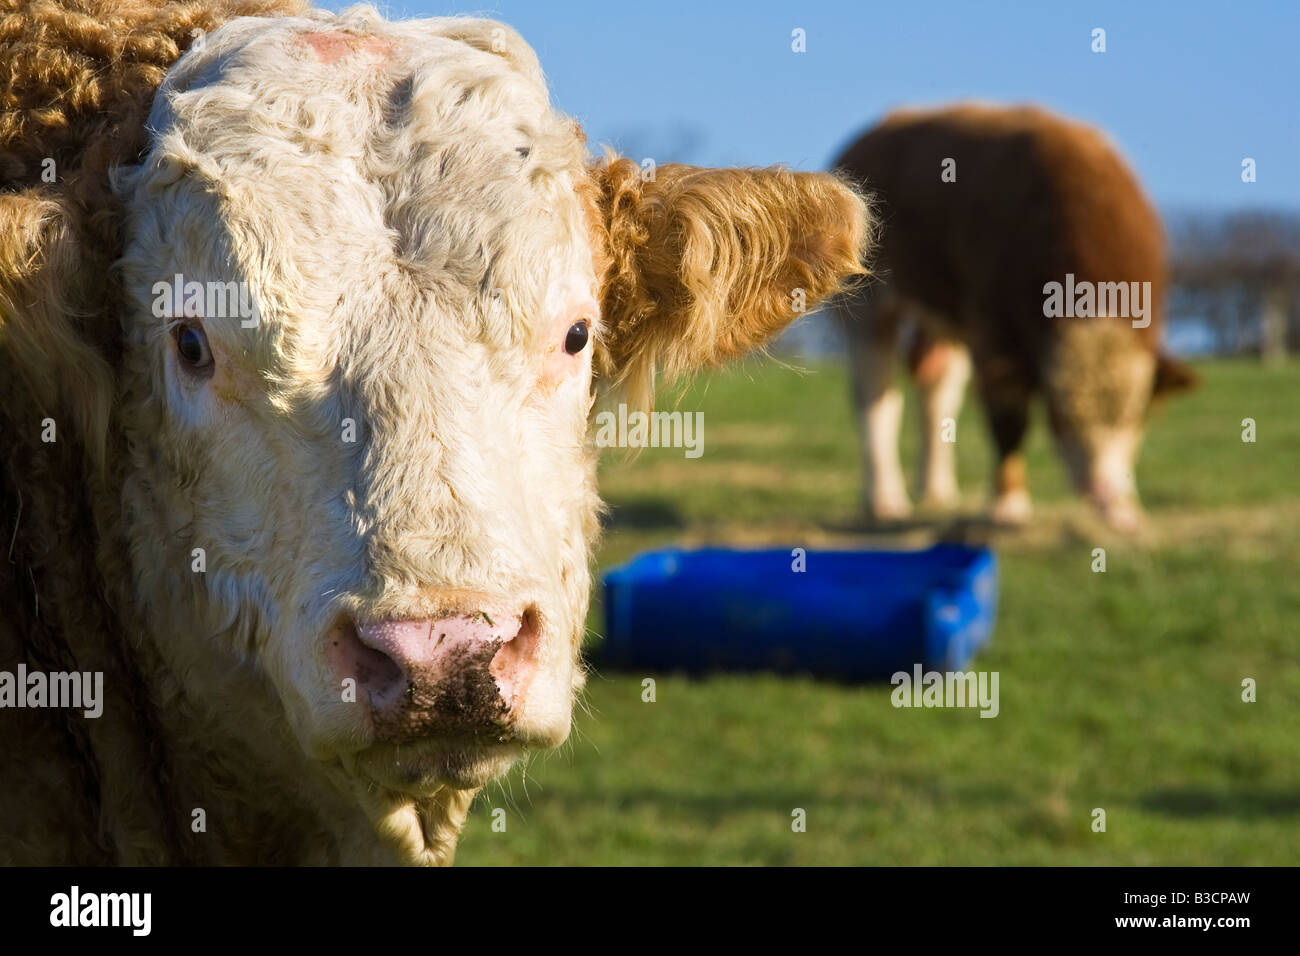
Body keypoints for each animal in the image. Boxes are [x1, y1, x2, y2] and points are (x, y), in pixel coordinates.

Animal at [832, 103, 1196, 530]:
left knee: (935, 384)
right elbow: (1008, 422)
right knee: (875, 394)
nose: (1103, 491)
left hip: (944, 312)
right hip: (869, 304)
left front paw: (1126, 510)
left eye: (1133, 416)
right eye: (1060, 416)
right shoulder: (993, 333)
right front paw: (1008, 506)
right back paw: (884, 499)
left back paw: (936, 491)